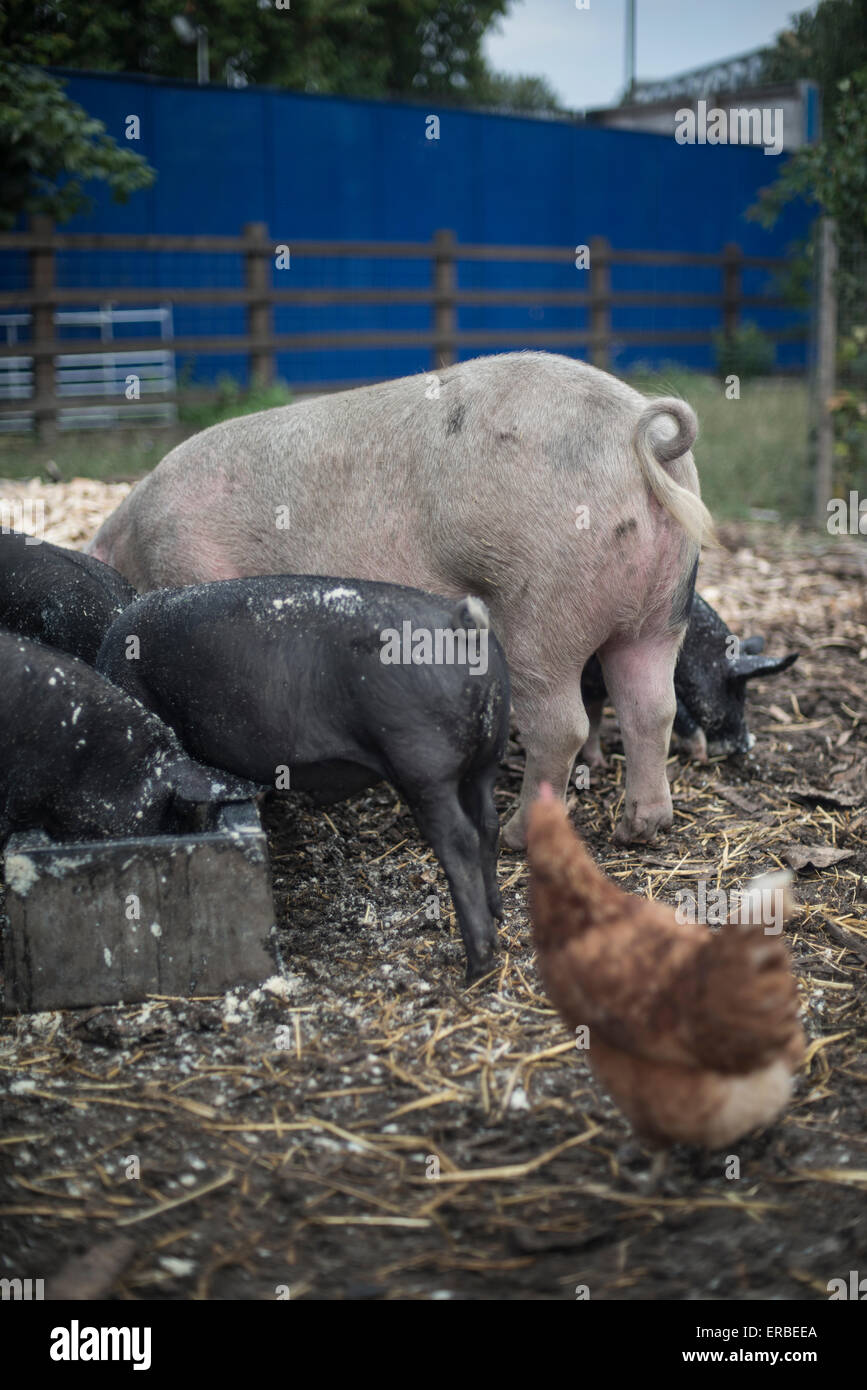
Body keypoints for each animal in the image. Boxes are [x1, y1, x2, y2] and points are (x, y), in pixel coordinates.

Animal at [87, 351, 714, 849]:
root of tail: (637, 433)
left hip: (543, 610)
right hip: (662, 611)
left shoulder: (186, 565)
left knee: (562, 728)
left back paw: (515, 838)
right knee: (652, 709)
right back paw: (639, 828)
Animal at [95, 575, 511, 981]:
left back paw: (476, 968)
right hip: (488, 755)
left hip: (422, 761)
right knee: (489, 823)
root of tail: (461, 624)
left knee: (460, 840)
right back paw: (500, 917)